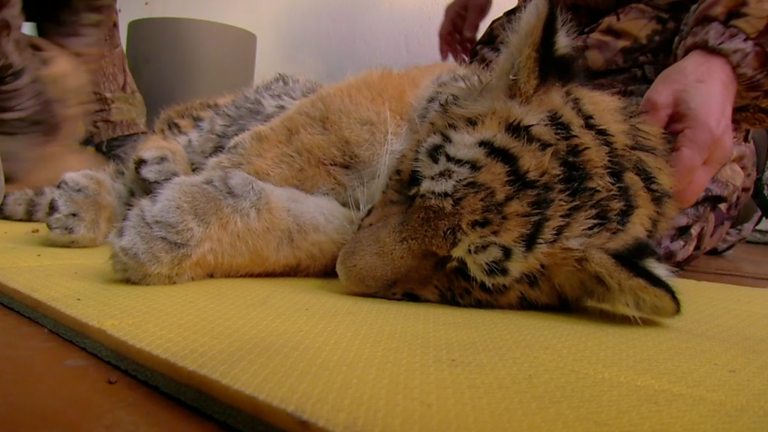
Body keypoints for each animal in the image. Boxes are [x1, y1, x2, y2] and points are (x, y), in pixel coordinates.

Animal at [1, 0, 680, 320]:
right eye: (417, 179)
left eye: (463, 268)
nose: (349, 275)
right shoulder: (351, 113)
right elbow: (281, 149)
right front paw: (168, 209)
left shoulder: (348, 226)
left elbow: (302, 227)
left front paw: (167, 229)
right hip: (247, 100)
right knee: (170, 143)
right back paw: (112, 187)